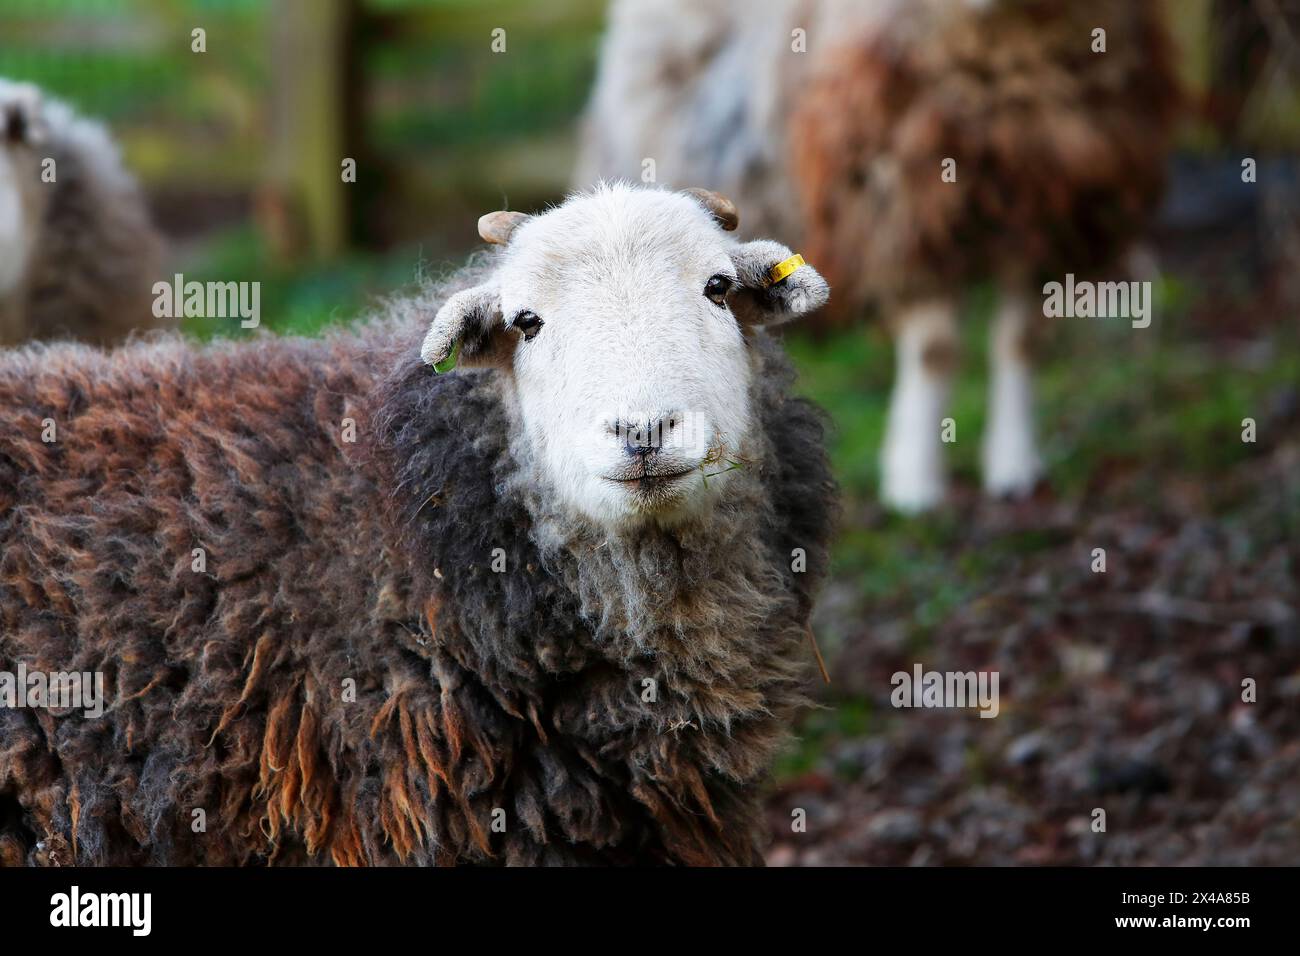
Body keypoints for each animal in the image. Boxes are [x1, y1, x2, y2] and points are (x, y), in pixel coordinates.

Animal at [576, 0, 1182, 511]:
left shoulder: (1047, 212)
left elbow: (1021, 341)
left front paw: (1015, 466)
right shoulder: (897, 205)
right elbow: (935, 350)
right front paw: (914, 482)